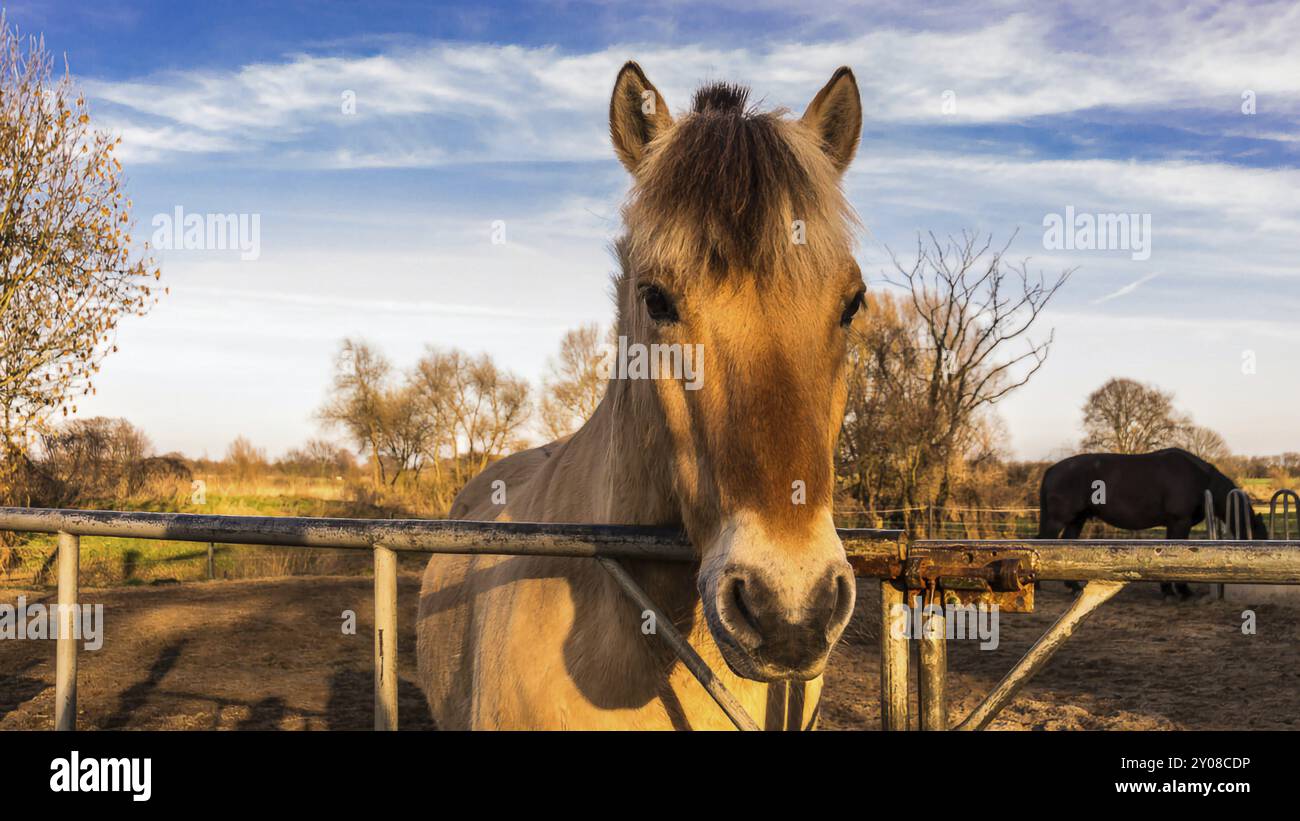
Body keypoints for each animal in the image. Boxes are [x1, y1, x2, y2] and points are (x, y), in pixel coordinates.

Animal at [1036, 447, 1268, 599]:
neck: (1201, 481)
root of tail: (1052, 470)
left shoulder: (1173, 525)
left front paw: (1168, 590)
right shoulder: (1180, 523)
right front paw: (1182, 591)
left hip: (1077, 520)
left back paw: (1073, 586)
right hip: (1058, 520)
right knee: (1043, 543)